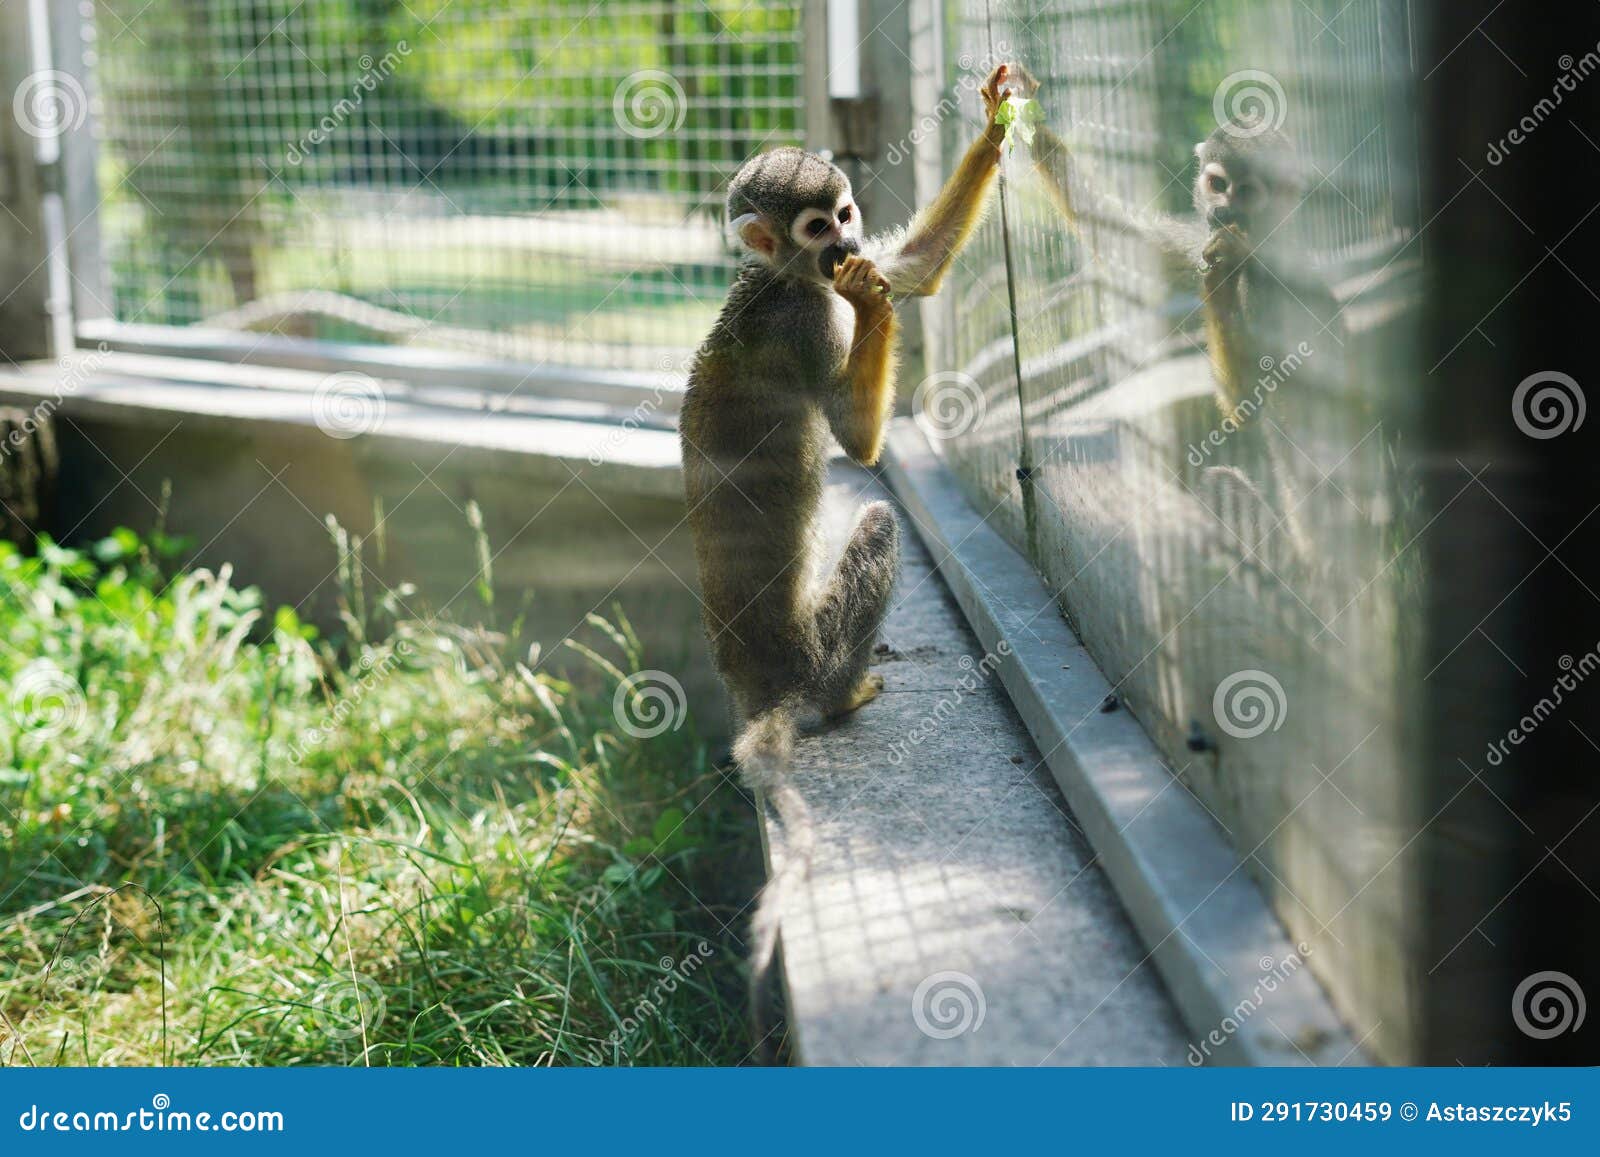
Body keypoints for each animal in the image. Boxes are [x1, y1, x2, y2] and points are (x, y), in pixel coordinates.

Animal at [679, 64, 1017, 1052]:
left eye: (846, 210)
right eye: (815, 228)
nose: (851, 239)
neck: (778, 277)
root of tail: (768, 684)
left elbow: (914, 272)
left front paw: (994, 130)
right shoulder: (806, 317)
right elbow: (861, 442)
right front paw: (869, 302)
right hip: (816, 642)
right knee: (874, 520)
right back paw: (843, 697)